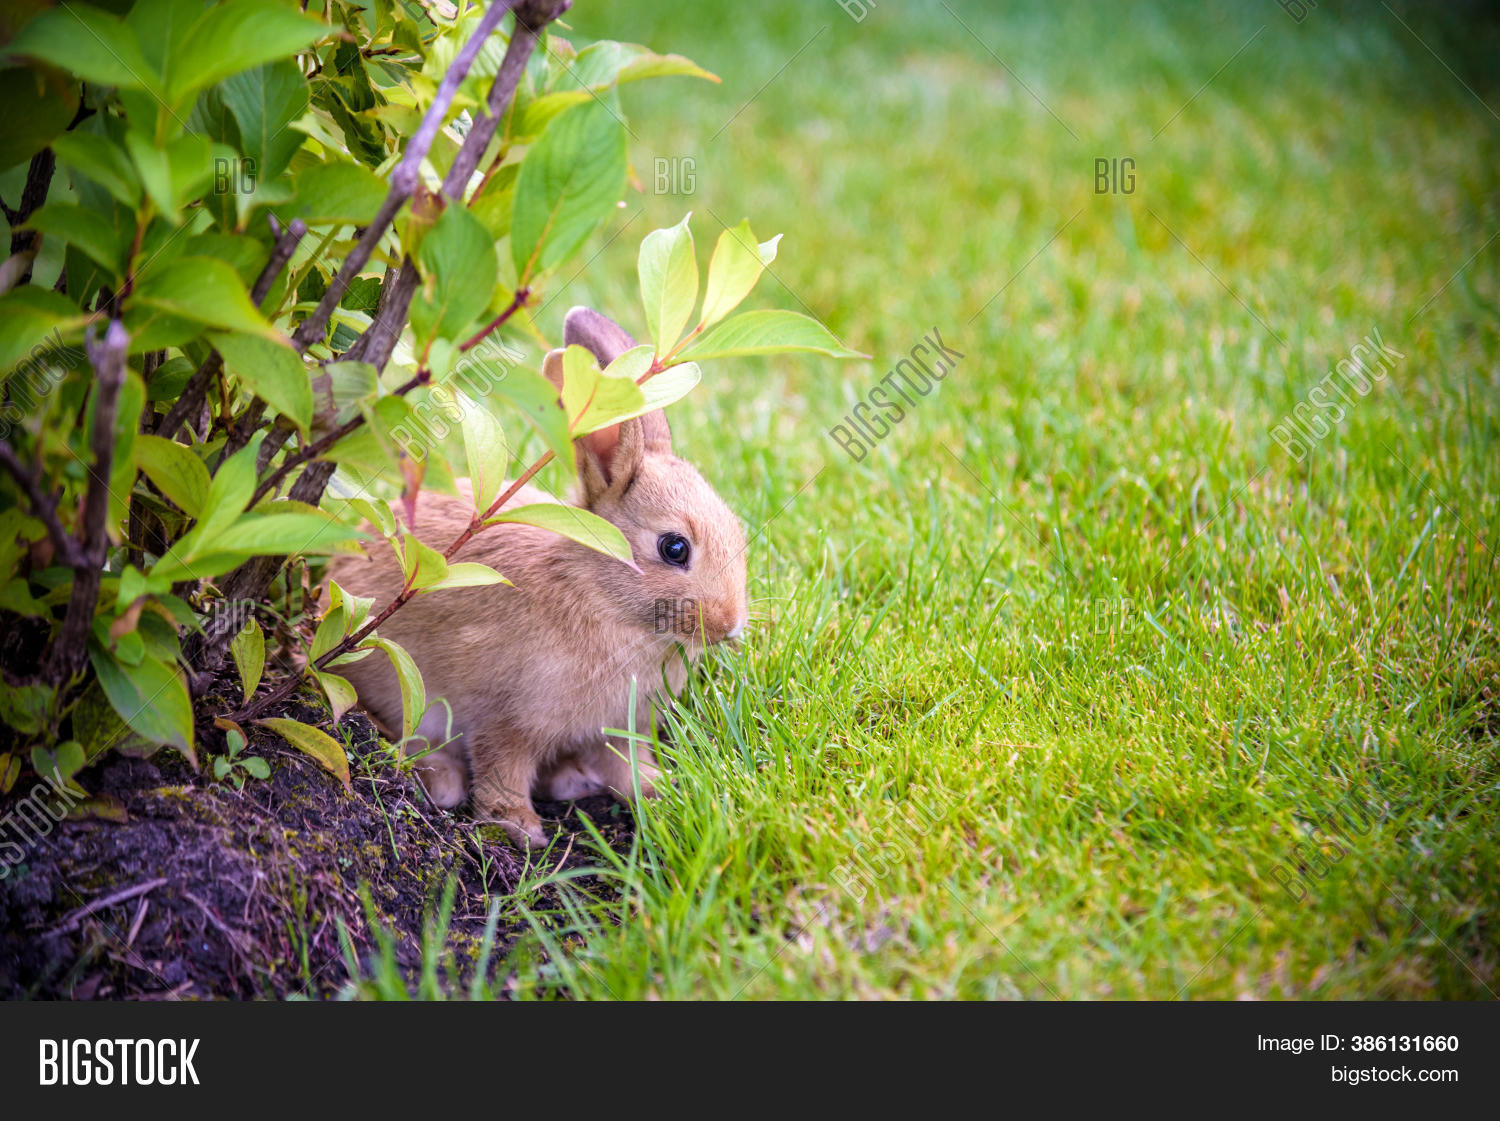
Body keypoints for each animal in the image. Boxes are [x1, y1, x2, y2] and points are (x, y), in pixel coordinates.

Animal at [327, 306, 749, 849]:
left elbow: (625, 764)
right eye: (674, 548)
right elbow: (502, 766)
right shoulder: (506, 719)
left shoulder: (618, 728)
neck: (606, 598)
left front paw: (659, 788)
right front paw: (518, 827)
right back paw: (443, 778)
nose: (730, 624)